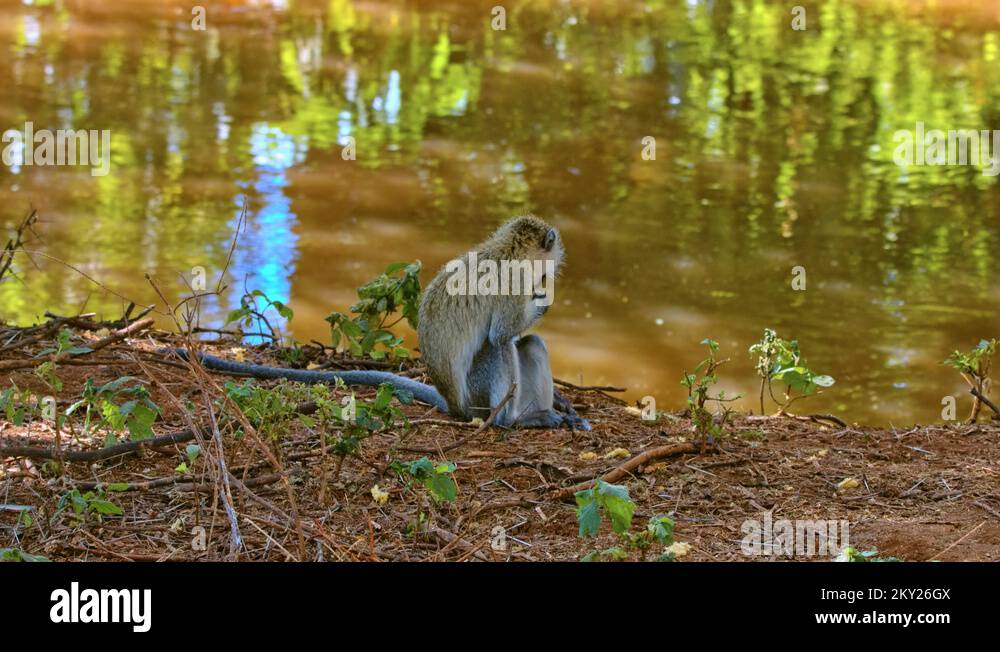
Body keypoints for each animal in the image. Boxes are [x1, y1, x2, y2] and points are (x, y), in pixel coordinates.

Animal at [172, 215, 589, 431]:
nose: (556, 269)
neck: (508, 251)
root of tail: (454, 403)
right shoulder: (514, 283)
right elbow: (501, 333)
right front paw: (543, 298)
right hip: (477, 394)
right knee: (501, 347)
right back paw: (513, 420)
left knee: (530, 344)